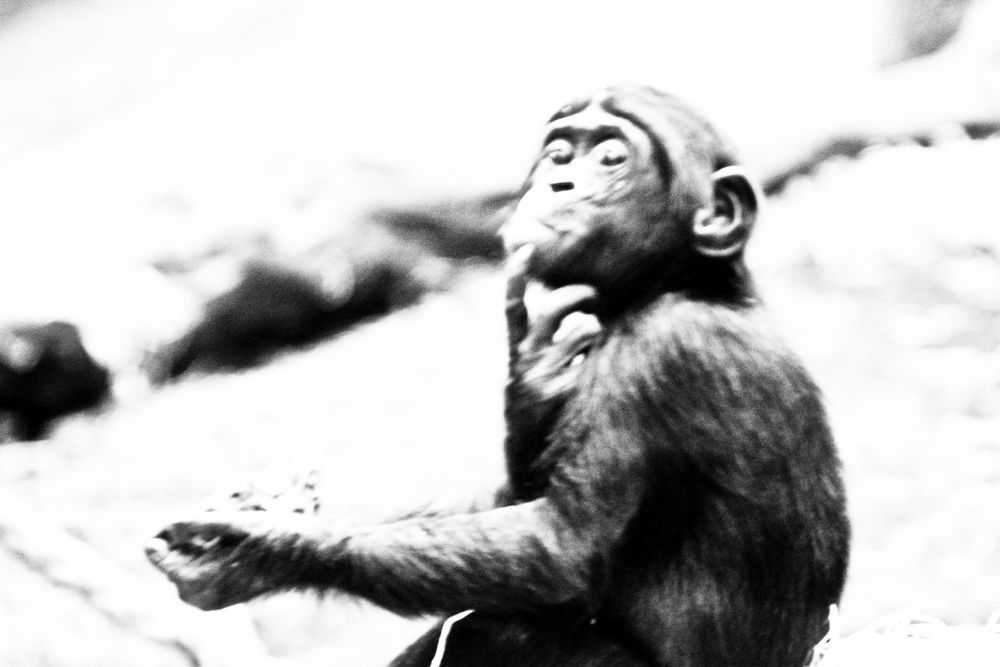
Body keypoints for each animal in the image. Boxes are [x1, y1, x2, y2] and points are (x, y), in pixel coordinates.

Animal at [146, 85, 849, 666]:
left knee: (505, 629)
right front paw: (532, 376)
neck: (678, 285)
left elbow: (560, 551)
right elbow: (515, 499)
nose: (560, 182)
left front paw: (260, 545)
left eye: (611, 158)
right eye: (560, 153)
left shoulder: (667, 358)